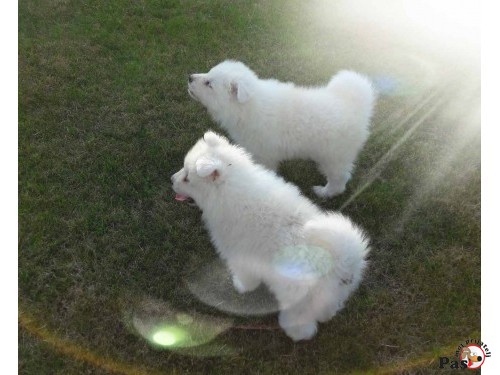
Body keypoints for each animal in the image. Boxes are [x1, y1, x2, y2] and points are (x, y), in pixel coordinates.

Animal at [172, 131, 372, 340]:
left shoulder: (240, 255)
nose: (171, 179)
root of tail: (344, 259)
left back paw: (294, 331)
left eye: (187, 179)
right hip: (335, 292)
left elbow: (246, 277)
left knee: (302, 323)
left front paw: (241, 286)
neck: (230, 190)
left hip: (299, 297)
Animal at [188, 60, 376, 198]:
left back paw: (325, 192)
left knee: (340, 178)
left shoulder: (265, 154)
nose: (189, 77)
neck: (247, 107)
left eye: (208, 83)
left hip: (333, 156)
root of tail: (355, 107)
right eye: (208, 73)